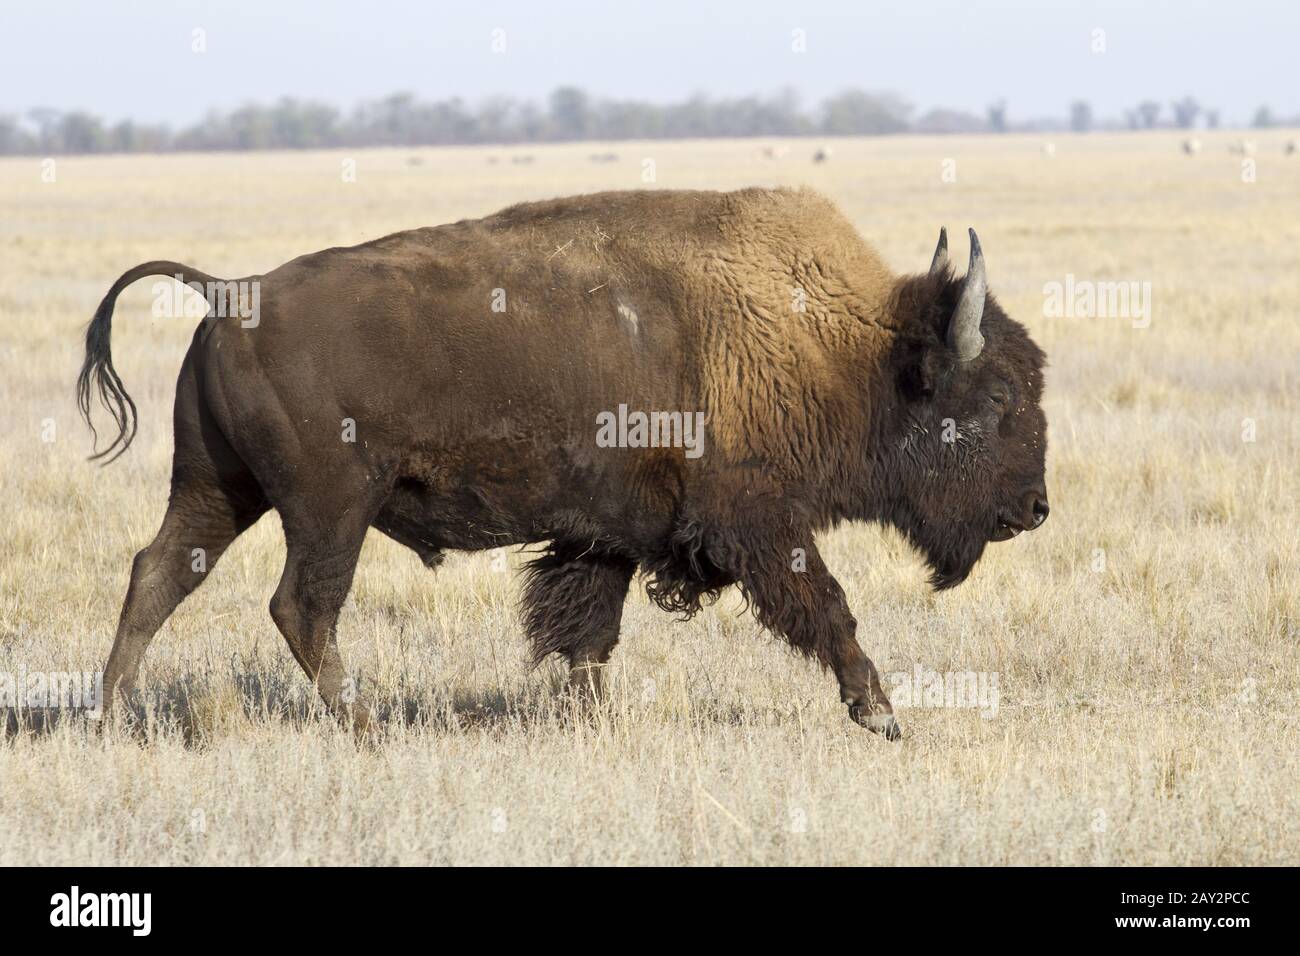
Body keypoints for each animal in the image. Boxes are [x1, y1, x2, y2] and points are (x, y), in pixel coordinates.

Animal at [78, 187, 1049, 739]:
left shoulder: (608, 537)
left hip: (217, 489)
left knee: (157, 574)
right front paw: (882, 716)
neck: (837, 345)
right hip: (329, 508)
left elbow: (587, 633)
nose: (1035, 508)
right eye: (998, 398)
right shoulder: (761, 524)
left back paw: (110, 719)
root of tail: (226, 294)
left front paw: (588, 723)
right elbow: (828, 608)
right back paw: (364, 728)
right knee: (301, 607)